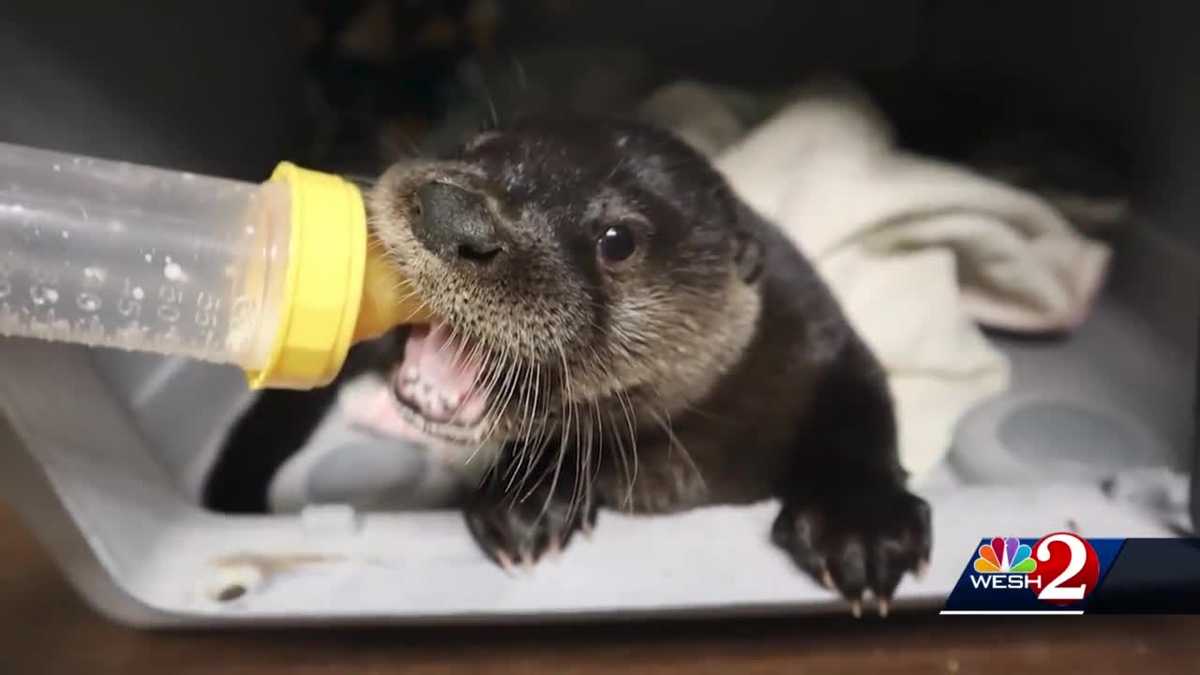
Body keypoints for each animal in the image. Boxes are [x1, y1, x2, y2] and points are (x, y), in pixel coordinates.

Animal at [360, 116, 932, 615]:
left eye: (617, 240)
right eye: (474, 146)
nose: (451, 211)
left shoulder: (820, 333)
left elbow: (862, 401)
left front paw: (860, 522)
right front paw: (529, 498)